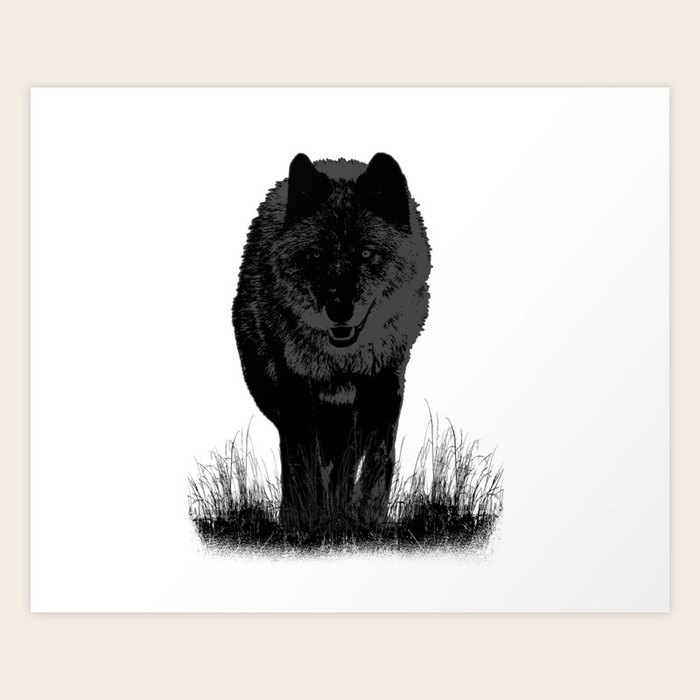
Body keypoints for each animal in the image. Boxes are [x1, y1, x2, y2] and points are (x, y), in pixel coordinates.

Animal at [232, 153, 431, 528]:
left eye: (366, 254)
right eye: (316, 255)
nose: (339, 309)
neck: (341, 362)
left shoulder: (384, 384)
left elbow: (378, 460)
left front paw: (368, 520)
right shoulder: (295, 390)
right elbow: (302, 463)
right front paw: (302, 521)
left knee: (345, 463)